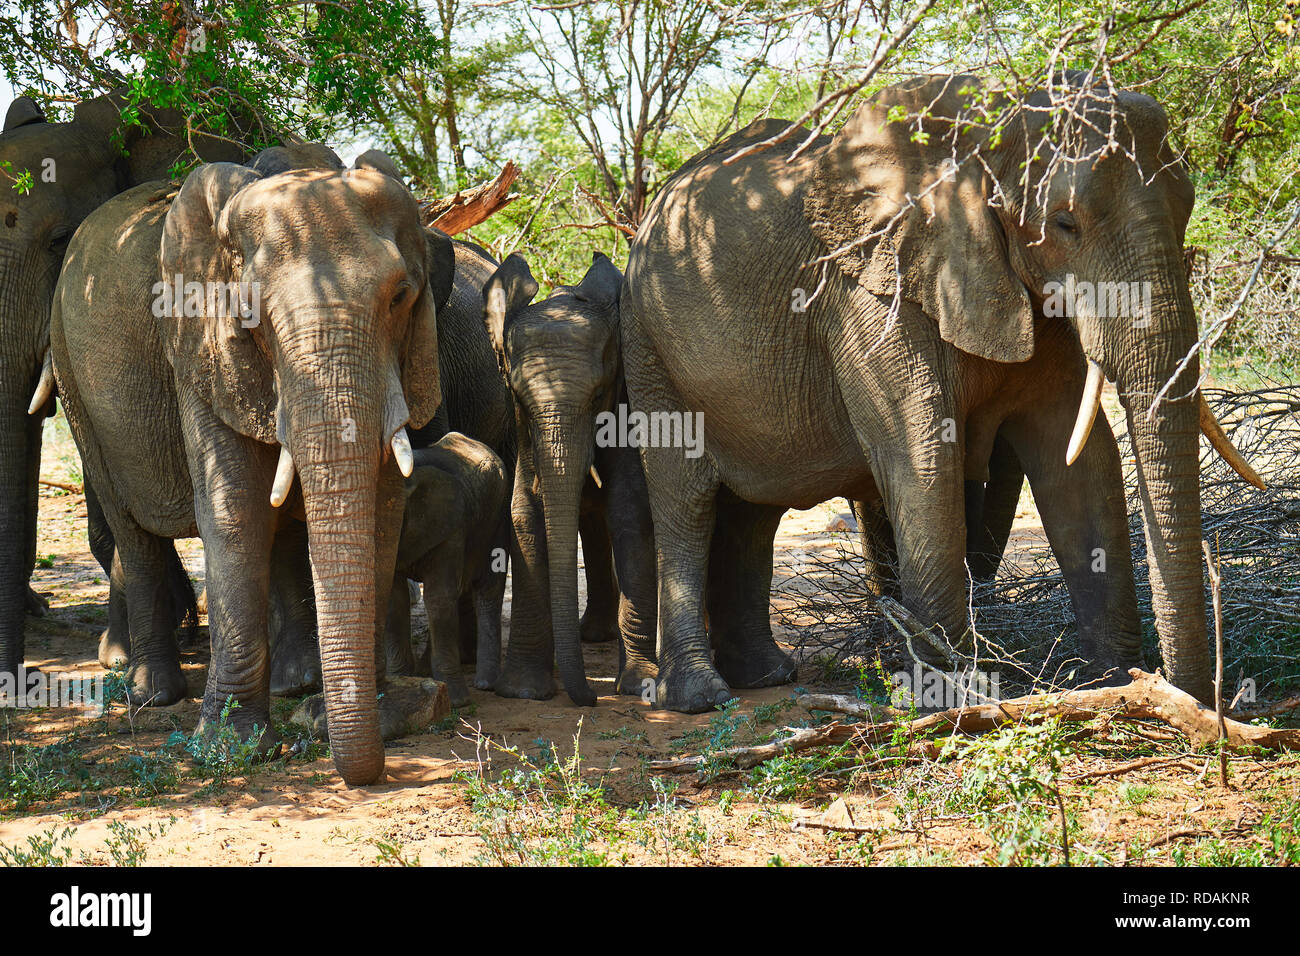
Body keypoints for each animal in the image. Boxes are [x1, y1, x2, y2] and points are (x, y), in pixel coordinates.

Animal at [51, 152, 452, 785]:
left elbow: (385, 503)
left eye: (401, 296)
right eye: (253, 315)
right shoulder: (196, 346)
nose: (369, 773)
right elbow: (234, 506)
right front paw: (231, 747)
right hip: (71, 372)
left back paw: (297, 683)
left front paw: (354, 717)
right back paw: (153, 694)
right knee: (130, 527)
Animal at [390, 433, 509, 706]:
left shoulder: (453, 526)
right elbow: (395, 597)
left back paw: (486, 683)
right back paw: (425, 671)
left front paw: (457, 701)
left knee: (487, 588)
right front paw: (401, 681)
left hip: (496, 517)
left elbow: (439, 596)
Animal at [482, 252, 660, 705]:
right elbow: (524, 513)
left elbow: (629, 509)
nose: (594, 698)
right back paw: (592, 635)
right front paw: (524, 692)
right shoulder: (521, 430)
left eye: (598, 396)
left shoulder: (626, 401)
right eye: (519, 397)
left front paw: (639, 686)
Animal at [622, 74, 1262, 712]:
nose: (1194, 697)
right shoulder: (868, 294)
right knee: (687, 502)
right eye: (1064, 223)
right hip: (649, 347)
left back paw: (765, 676)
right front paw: (949, 699)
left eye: (1187, 208)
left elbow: (1078, 462)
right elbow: (923, 455)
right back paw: (699, 696)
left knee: (754, 513)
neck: (987, 127)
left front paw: (1114, 682)